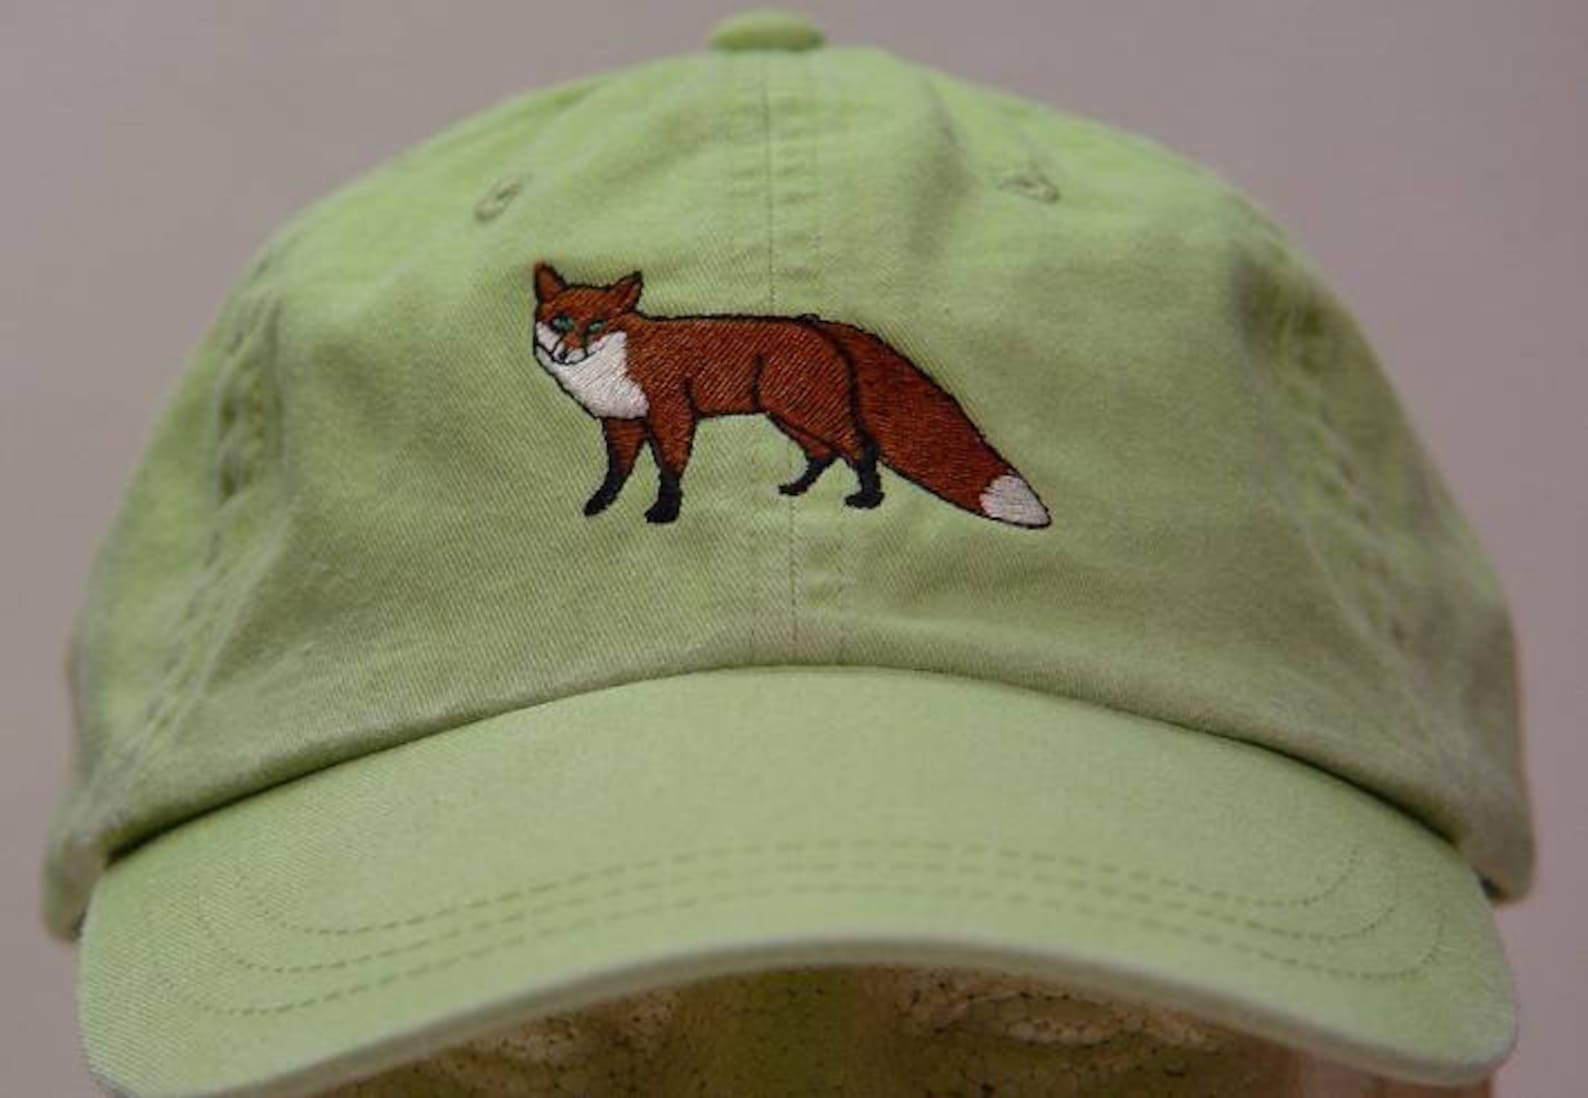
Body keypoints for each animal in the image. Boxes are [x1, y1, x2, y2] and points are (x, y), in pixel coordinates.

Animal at [529, 261, 1050, 529]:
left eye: (597, 324)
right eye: (560, 321)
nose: (566, 353)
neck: (615, 363)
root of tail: (813, 321)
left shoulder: (670, 411)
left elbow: (670, 469)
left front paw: (665, 511)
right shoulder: (620, 421)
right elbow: (616, 473)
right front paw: (599, 505)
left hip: (810, 410)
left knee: (861, 448)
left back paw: (868, 499)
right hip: (788, 416)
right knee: (823, 454)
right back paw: (798, 488)